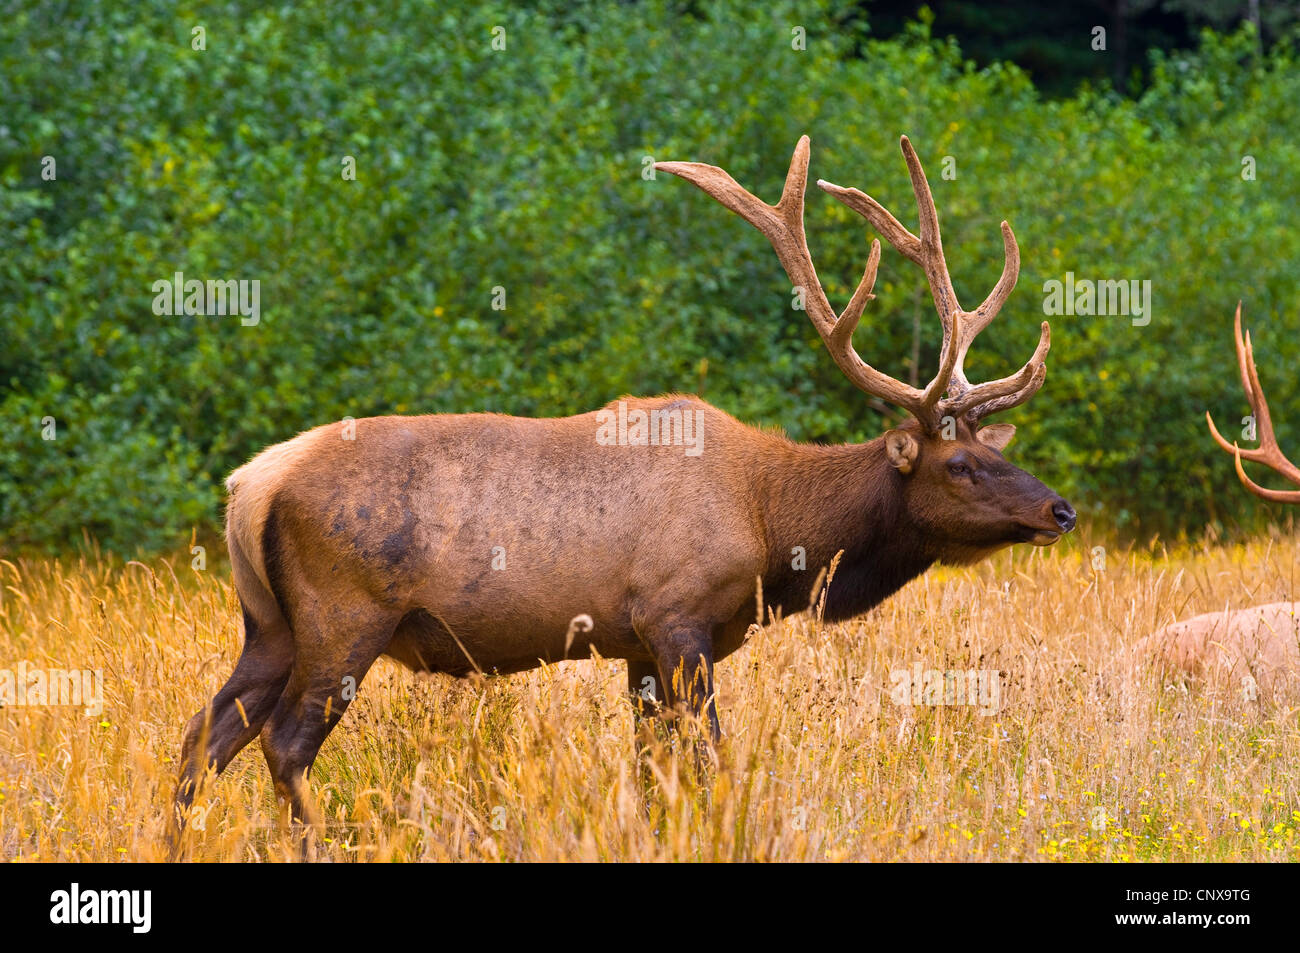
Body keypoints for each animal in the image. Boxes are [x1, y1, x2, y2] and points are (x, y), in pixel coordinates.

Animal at [173, 135, 1077, 837]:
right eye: (959, 464)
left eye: (994, 448)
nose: (1059, 508)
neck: (772, 526)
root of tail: (251, 485)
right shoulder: (676, 614)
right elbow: (709, 759)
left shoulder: (637, 644)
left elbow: (652, 773)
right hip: (345, 613)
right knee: (280, 743)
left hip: (270, 623)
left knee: (203, 734)